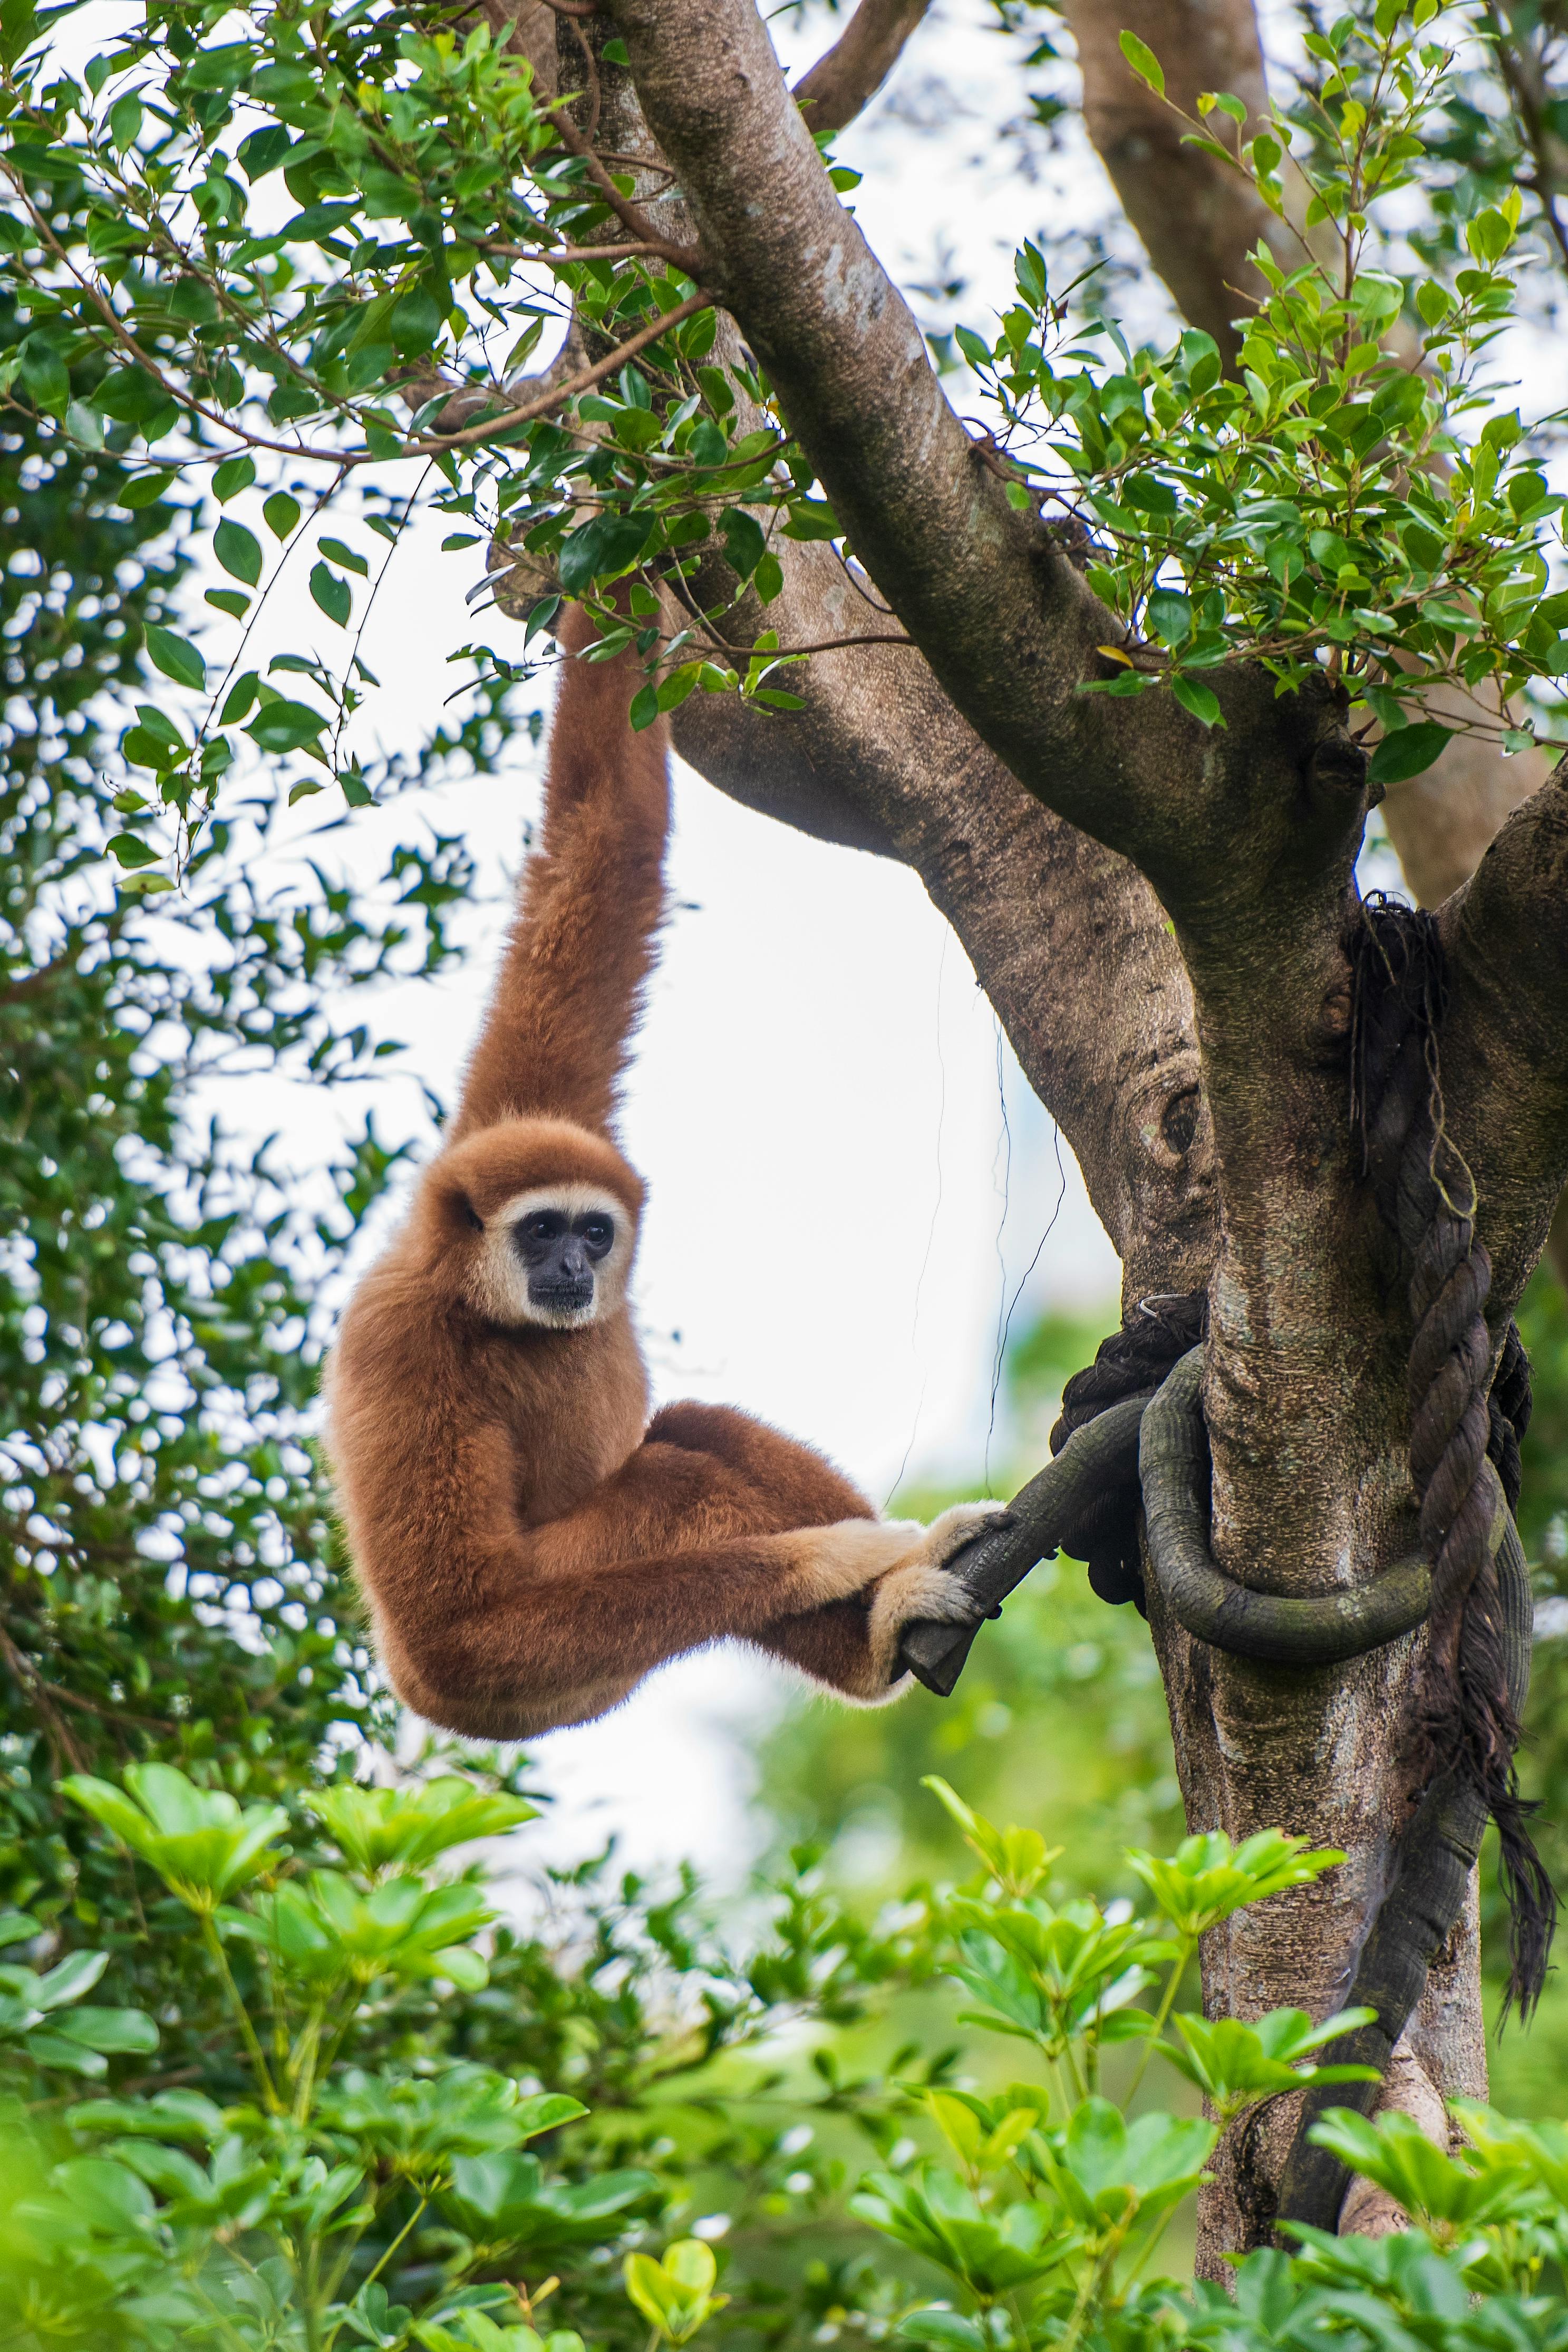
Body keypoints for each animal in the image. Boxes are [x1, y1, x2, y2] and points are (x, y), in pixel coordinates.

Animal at [323, 601, 1002, 1740]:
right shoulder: (401, 1350)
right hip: (551, 1666)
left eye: (591, 1230)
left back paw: (882, 1626)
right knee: (678, 1471)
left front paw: (614, 575)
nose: (573, 1271)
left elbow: (600, 839)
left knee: (699, 1426)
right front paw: (827, 1556)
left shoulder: (515, 1116)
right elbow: (455, 1627)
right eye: (539, 1231)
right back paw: (872, 1622)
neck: (473, 1296)